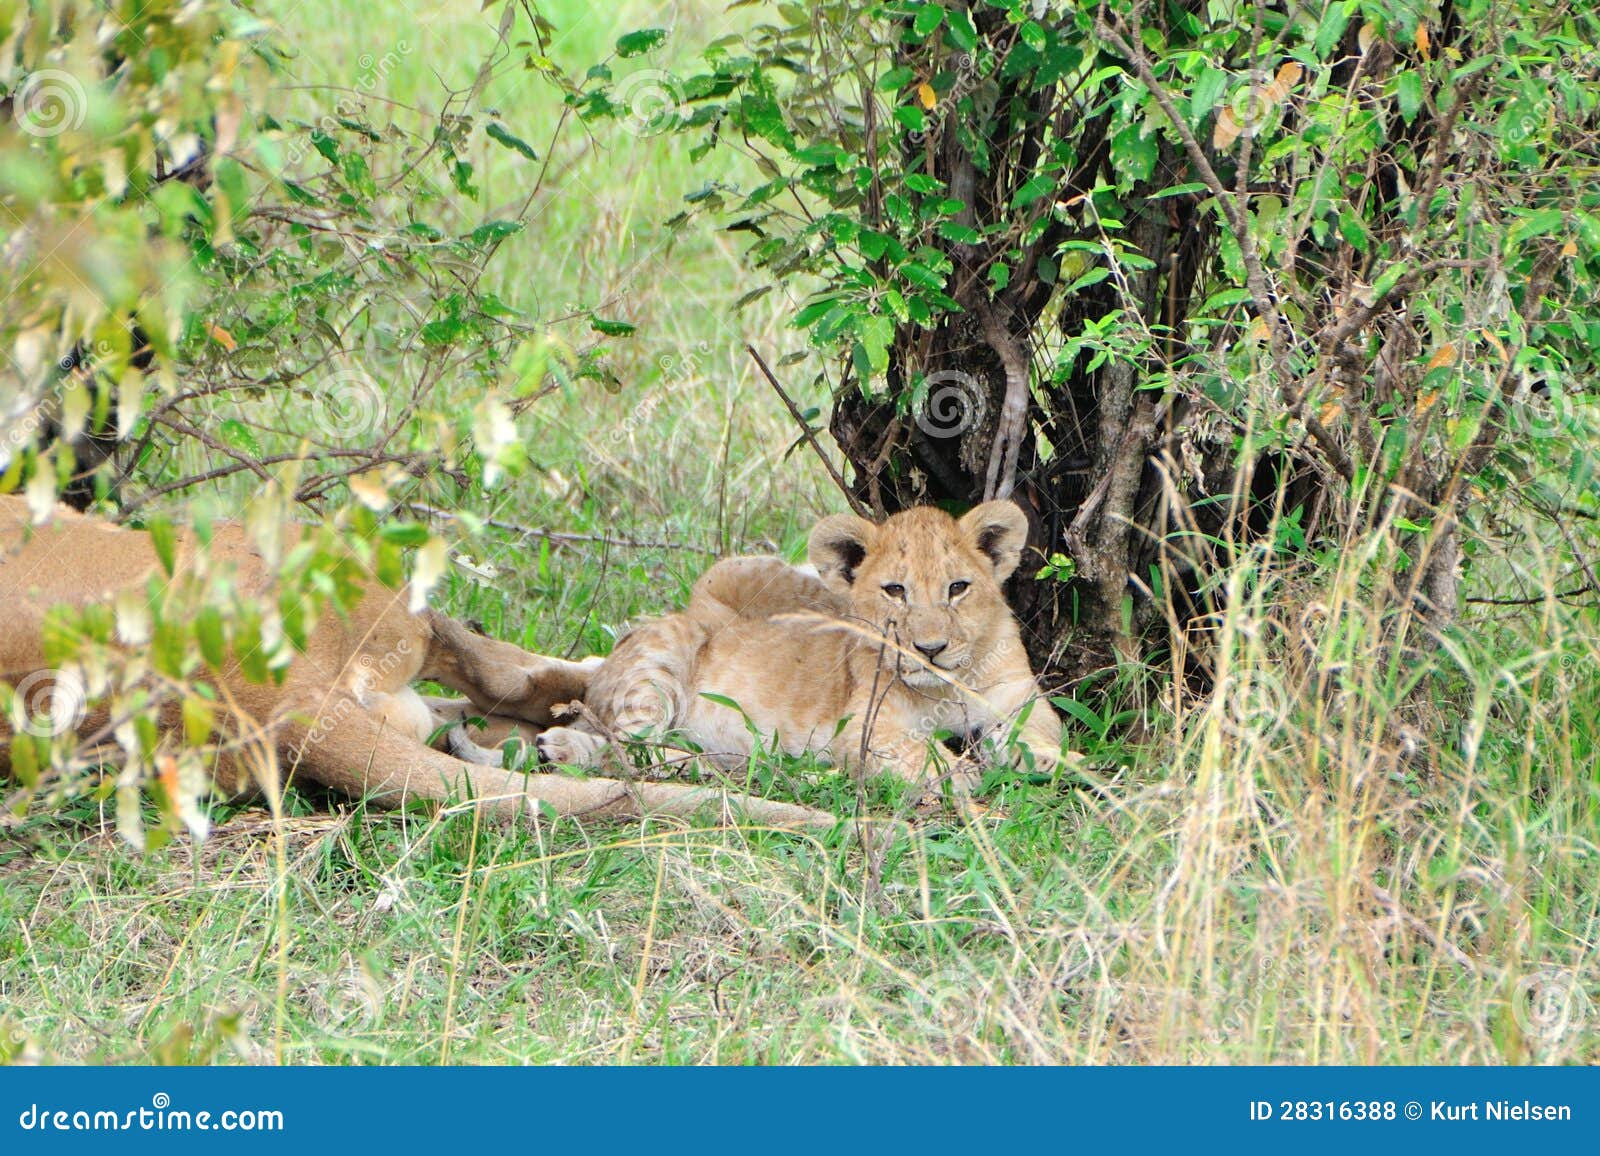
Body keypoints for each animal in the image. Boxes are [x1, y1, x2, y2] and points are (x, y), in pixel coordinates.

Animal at [531, 500, 1070, 797]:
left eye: (958, 588)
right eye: (895, 591)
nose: (930, 649)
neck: (945, 688)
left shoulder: (1016, 694)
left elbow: (1042, 729)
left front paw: (1046, 761)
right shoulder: (868, 727)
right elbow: (921, 751)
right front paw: (962, 776)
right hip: (660, 659)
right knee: (630, 750)